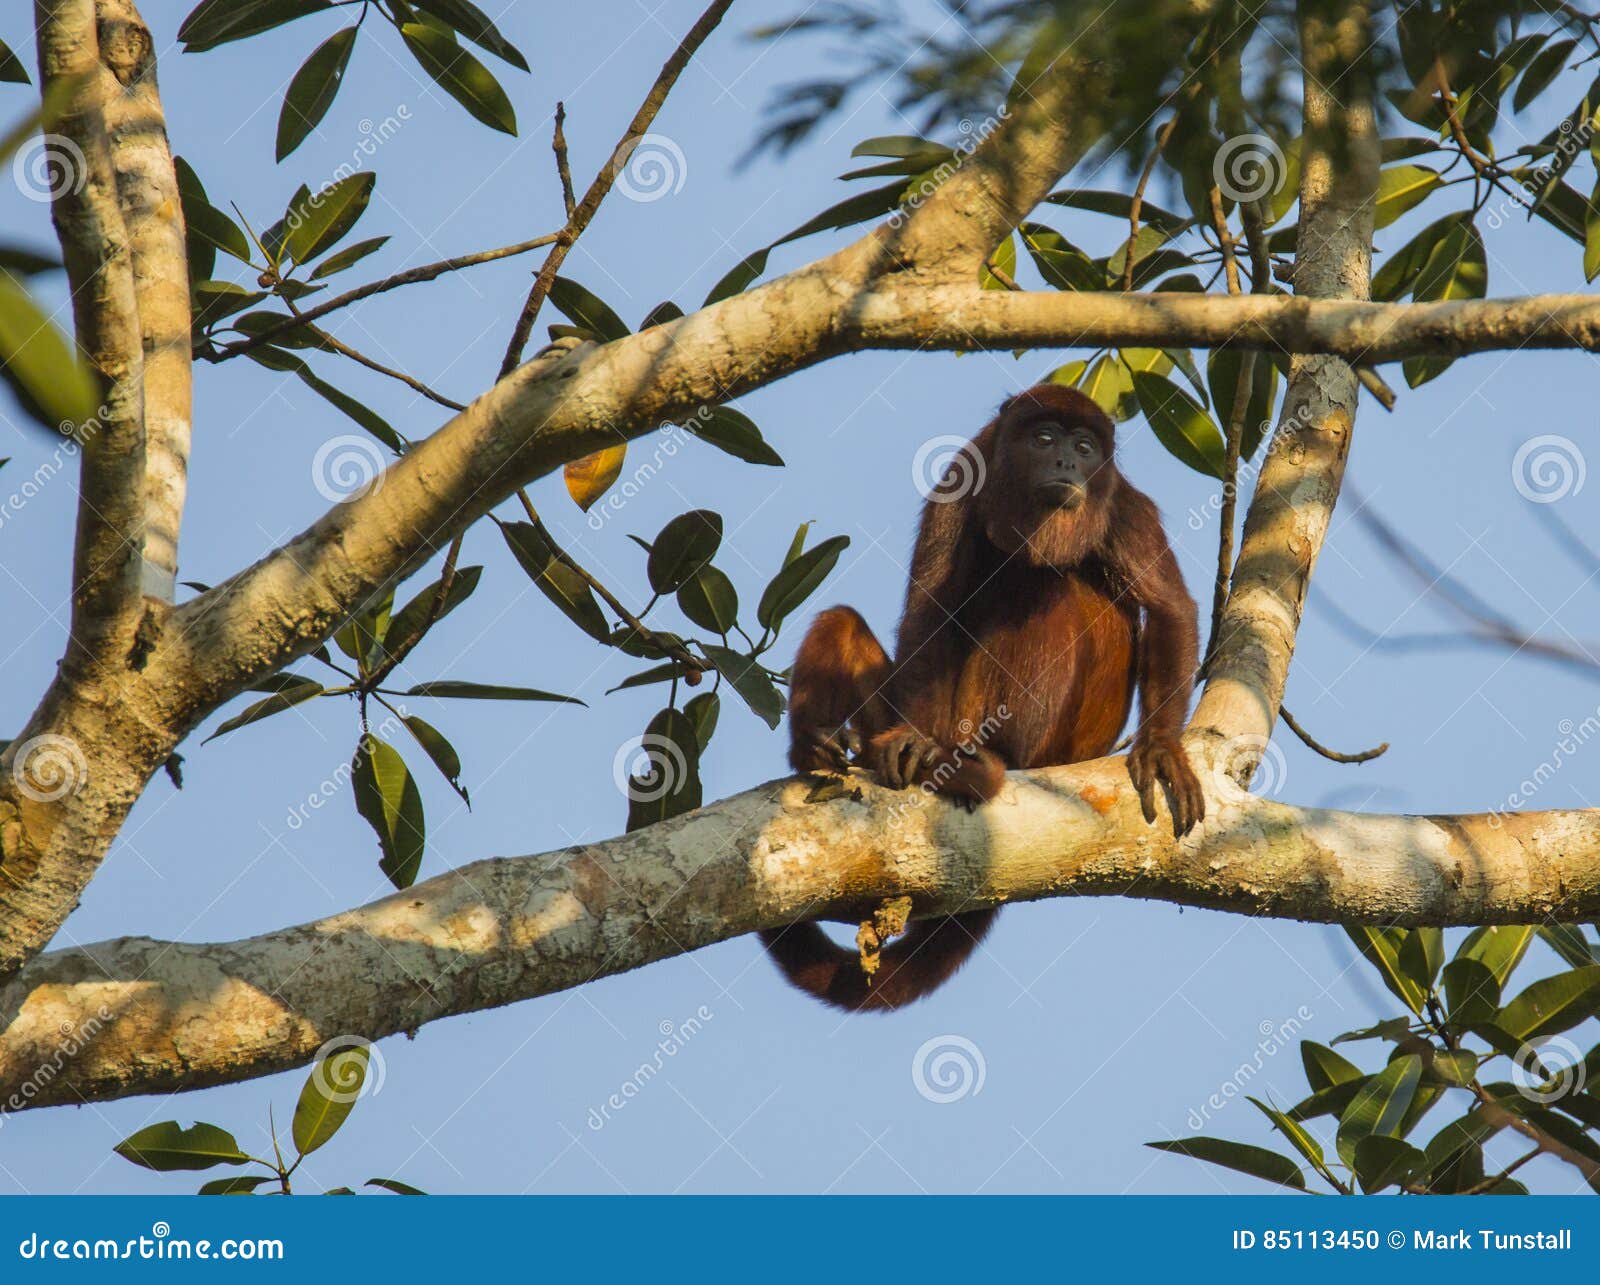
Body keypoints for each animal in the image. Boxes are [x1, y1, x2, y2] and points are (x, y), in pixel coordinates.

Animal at [760, 383, 1205, 1011]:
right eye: (1044, 438)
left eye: (1085, 448)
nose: (1067, 463)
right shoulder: (957, 480)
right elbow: (929, 612)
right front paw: (907, 747)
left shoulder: (1124, 506)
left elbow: (1170, 609)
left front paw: (1162, 749)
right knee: (842, 622)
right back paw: (822, 748)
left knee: (1046, 586)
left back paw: (978, 767)